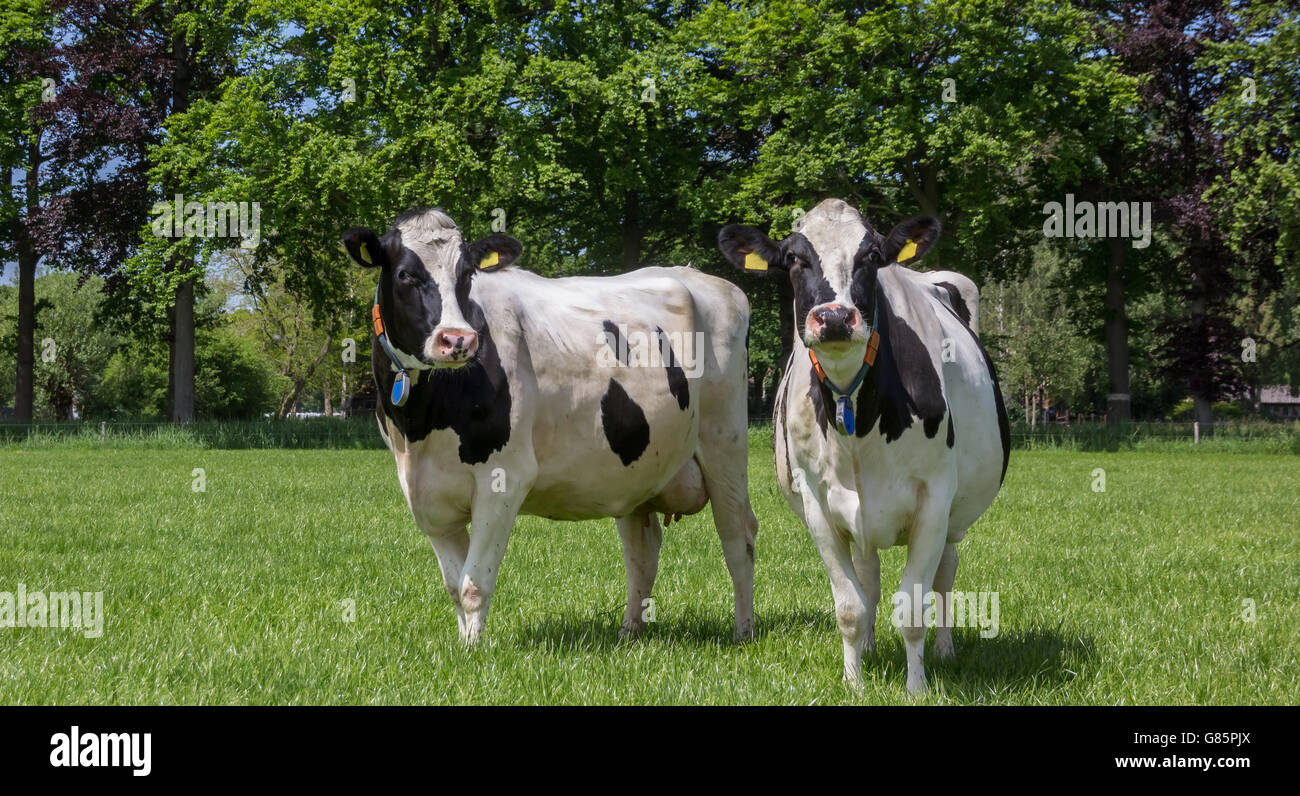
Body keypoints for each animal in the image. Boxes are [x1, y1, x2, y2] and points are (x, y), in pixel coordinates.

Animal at [342, 208, 757, 645]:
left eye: (467, 274)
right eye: (405, 274)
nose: (457, 340)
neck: (422, 421)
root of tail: (707, 279)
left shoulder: (504, 479)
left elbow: (474, 585)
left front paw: (474, 651)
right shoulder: (425, 494)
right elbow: (454, 586)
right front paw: (462, 646)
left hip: (725, 445)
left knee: (738, 536)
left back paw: (743, 630)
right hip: (637, 467)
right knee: (643, 550)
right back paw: (629, 632)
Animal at [718, 198, 1009, 694]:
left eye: (872, 255)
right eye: (793, 258)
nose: (835, 318)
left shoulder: (935, 498)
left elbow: (913, 607)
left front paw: (917, 688)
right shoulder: (818, 502)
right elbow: (850, 605)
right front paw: (853, 681)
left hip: (954, 516)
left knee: (945, 573)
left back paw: (945, 651)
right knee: (869, 576)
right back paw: (871, 649)